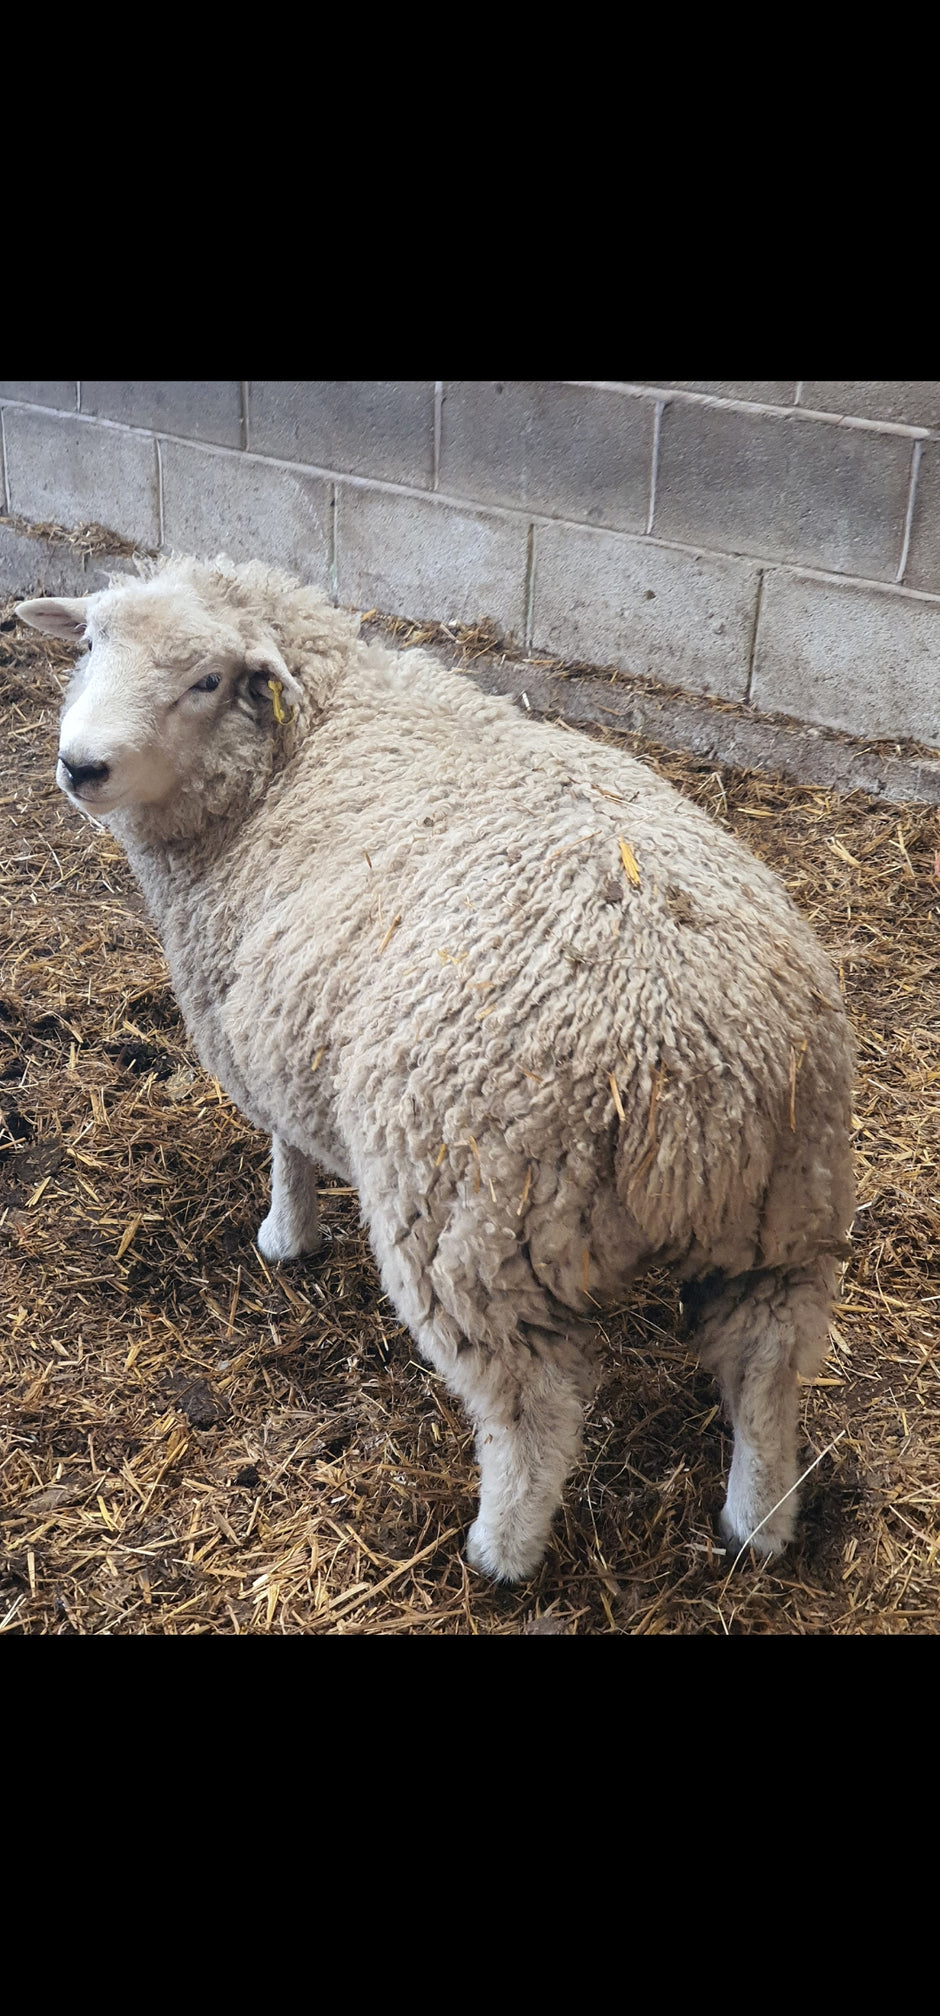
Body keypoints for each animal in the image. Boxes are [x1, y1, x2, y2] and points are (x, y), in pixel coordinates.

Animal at [17, 555, 856, 1583]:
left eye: (206, 681)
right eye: (91, 642)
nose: (80, 767)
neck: (303, 743)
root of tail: (683, 1077)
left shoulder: (262, 1034)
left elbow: (287, 1148)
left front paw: (283, 1238)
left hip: (471, 1224)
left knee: (534, 1410)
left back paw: (500, 1550)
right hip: (786, 1219)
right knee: (767, 1373)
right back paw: (757, 1525)